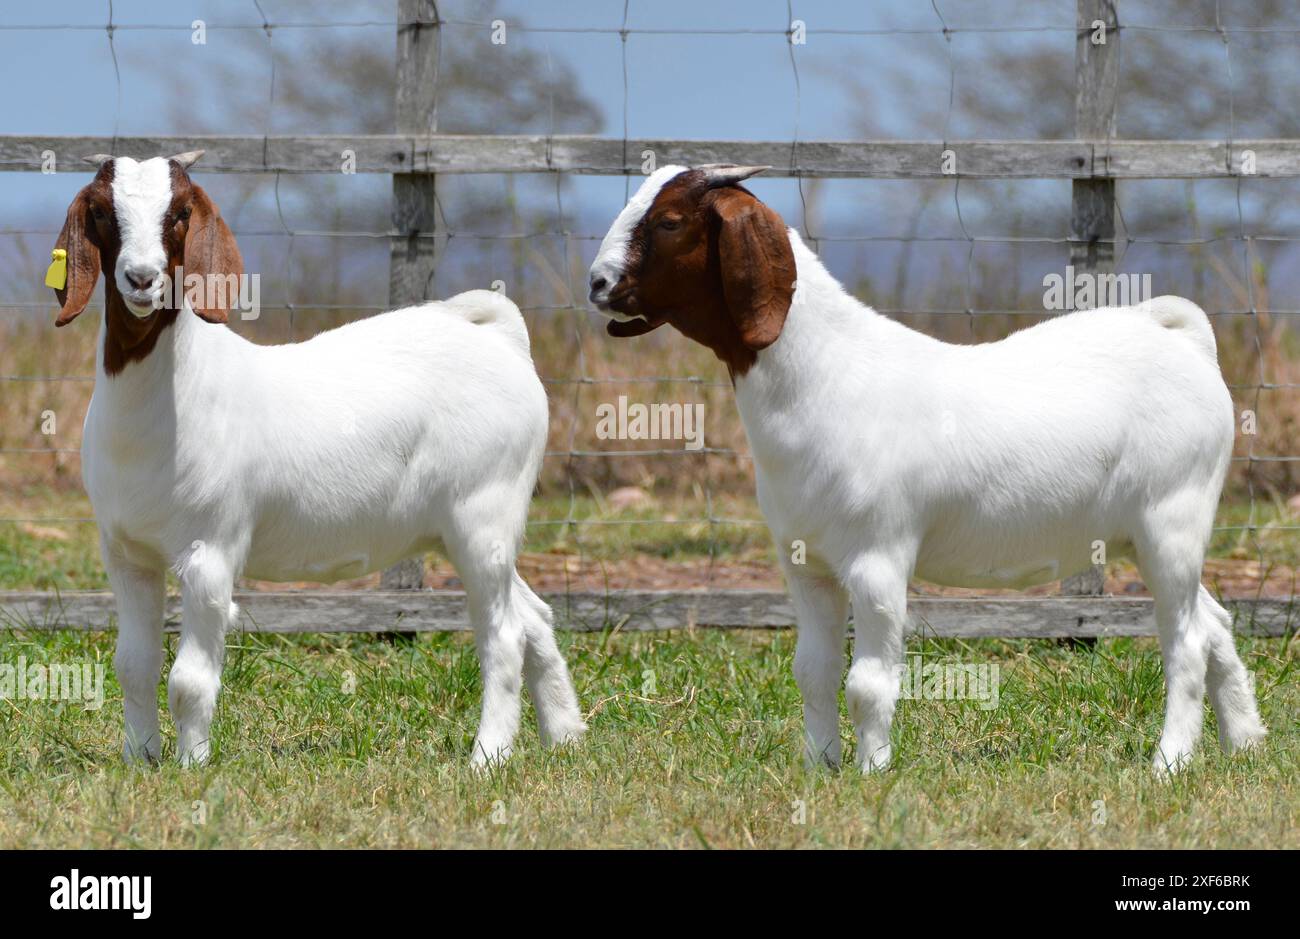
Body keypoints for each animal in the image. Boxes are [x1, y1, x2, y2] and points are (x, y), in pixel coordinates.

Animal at [50, 152, 585, 766]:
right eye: (101, 211)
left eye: (181, 212)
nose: (141, 278)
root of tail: (502, 341)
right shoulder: (127, 555)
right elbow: (133, 666)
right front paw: (139, 763)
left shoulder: (211, 550)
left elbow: (189, 680)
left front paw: (191, 767)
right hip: (465, 529)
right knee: (535, 616)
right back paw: (566, 737)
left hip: (484, 512)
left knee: (504, 636)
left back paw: (486, 759)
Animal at [589, 163, 1266, 775]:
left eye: (670, 221)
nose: (597, 283)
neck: (829, 373)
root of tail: (1180, 338)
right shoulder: (805, 563)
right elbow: (812, 672)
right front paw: (818, 768)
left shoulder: (879, 557)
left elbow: (867, 683)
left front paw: (872, 774)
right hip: (1143, 535)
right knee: (1215, 622)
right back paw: (1245, 743)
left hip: (1171, 519)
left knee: (1187, 643)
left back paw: (1169, 763)